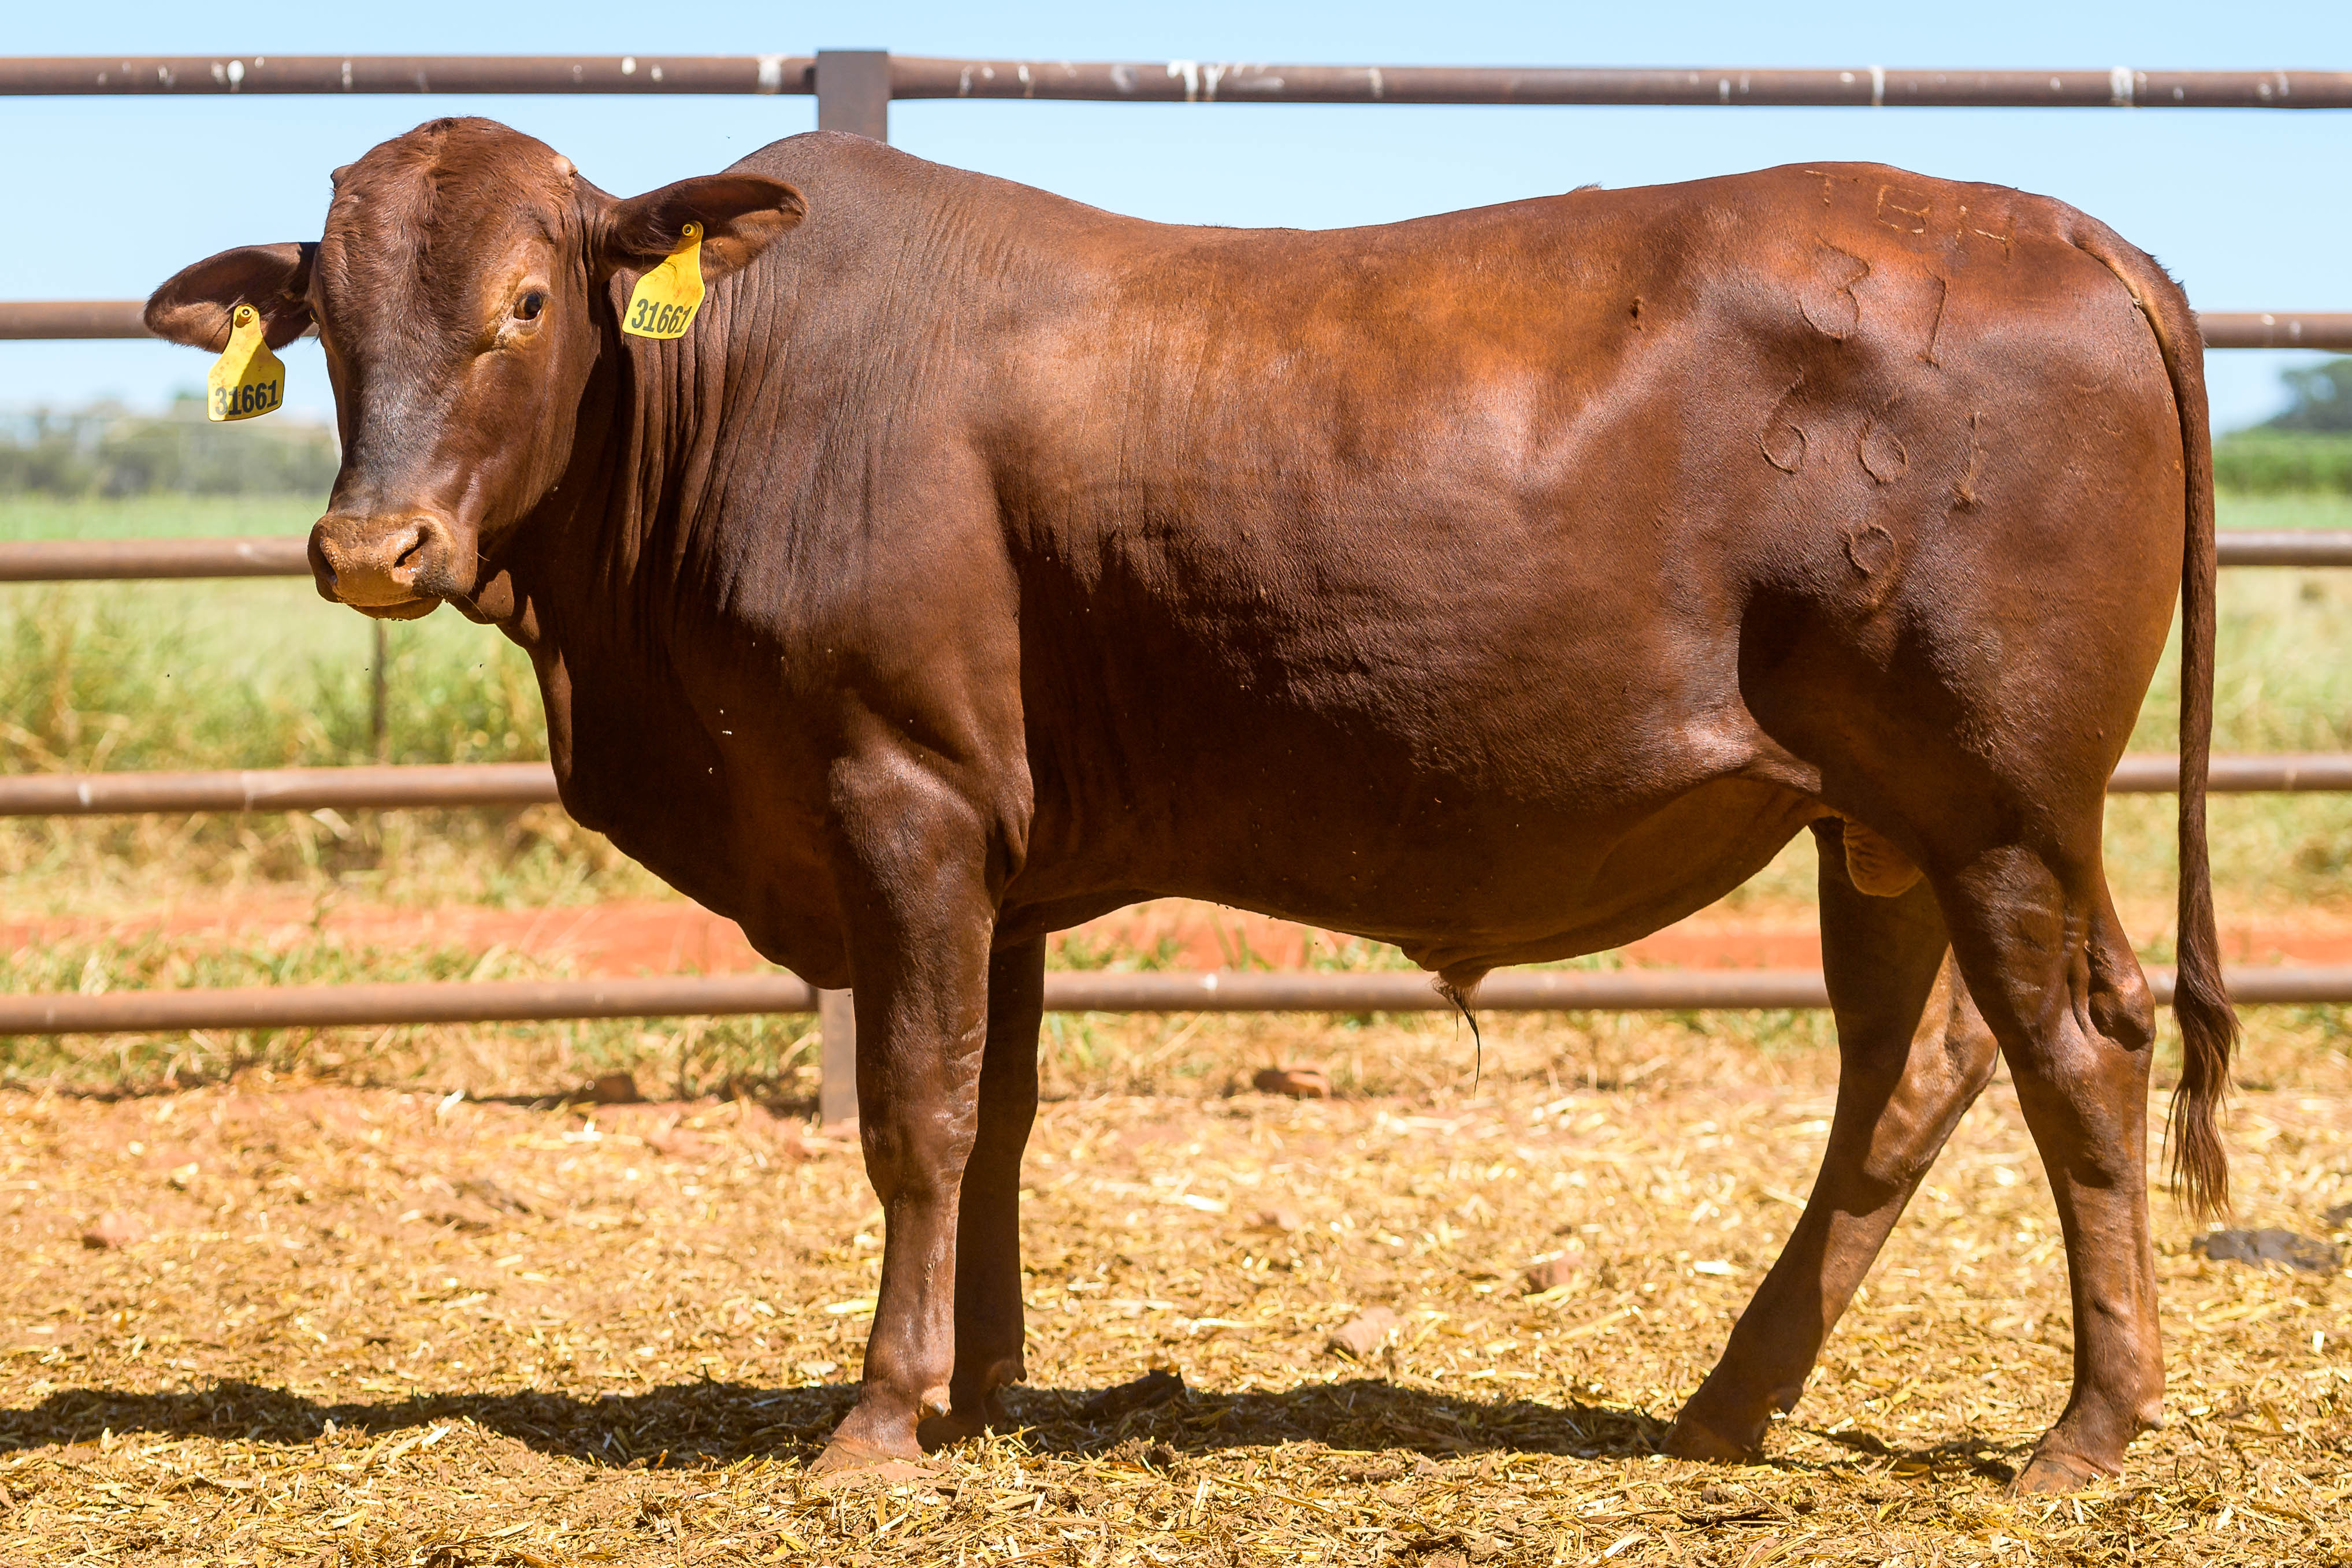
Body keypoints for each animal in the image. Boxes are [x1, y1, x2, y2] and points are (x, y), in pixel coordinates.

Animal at [147, 117, 2235, 1492]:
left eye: (523, 301)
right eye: (331, 317)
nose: (371, 546)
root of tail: (2064, 230)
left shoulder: (900, 794)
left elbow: (911, 1115)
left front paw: (881, 1415)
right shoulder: (1000, 852)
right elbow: (993, 1116)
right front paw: (982, 1382)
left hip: (1994, 795)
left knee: (2075, 1047)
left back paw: (2087, 1427)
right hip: (1869, 818)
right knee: (1907, 1067)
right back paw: (1730, 1402)